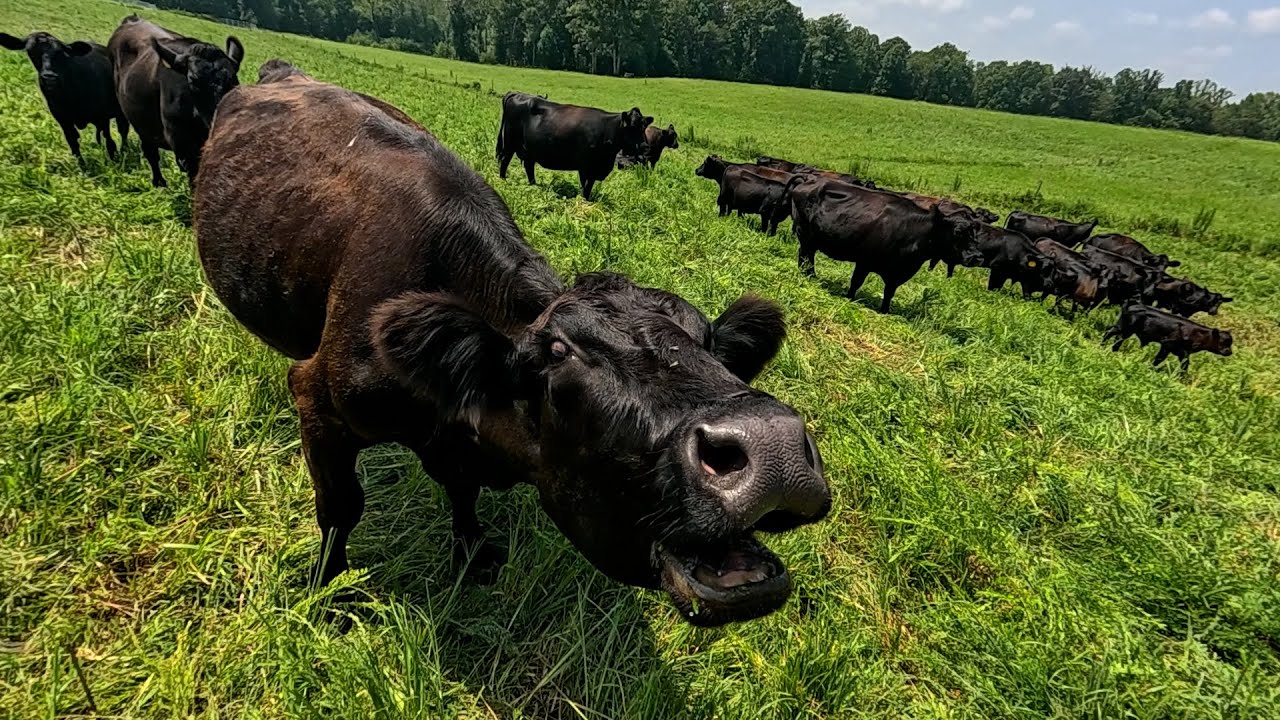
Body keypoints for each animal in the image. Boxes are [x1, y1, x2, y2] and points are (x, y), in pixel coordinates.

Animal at [1, 31, 128, 160]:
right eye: (31, 51)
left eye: (59, 52)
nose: (49, 77)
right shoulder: (62, 119)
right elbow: (73, 143)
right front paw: (82, 164)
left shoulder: (102, 115)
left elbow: (109, 139)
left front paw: (115, 158)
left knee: (122, 130)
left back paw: (124, 150)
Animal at [109, 15, 244, 187]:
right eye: (192, 79)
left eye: (233, 80)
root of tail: (132, 19)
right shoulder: (183, 145)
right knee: (145, 147)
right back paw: (158, 182)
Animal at [496, 91, 651, 200]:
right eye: (632, 127)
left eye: (644, 126)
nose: (645, 146)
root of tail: (517, 94)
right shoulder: (586, 167)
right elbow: (586, 187)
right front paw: (584, 201)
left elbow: (587, 186)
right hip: (509, 142)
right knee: (505, 161)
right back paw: (503, 180)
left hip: (529, 149)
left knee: (529, 167)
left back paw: (534, 185)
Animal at [788, 176, 980, 313]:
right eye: (958, 231)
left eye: (975, 232)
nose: (977, 257)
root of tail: (810, 180)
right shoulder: (864, 261)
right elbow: (856, 282)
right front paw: (849, 298)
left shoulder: (897, 273)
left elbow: (889, 292)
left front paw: (885, 311)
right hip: (805, 235)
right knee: (806, 257)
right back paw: (809, 276)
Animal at [1103, 302, 1233, 372]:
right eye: (1223, 342)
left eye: (1230, 343)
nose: (1229, 352)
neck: (1197, 333)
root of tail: (1134, 304)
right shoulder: (1167, 345)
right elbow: (1159, 359)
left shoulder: (1183, 352)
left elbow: (1185, 365)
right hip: (1126, 329)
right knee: (1111, 334)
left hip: (1122, 328)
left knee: (1114, 336)